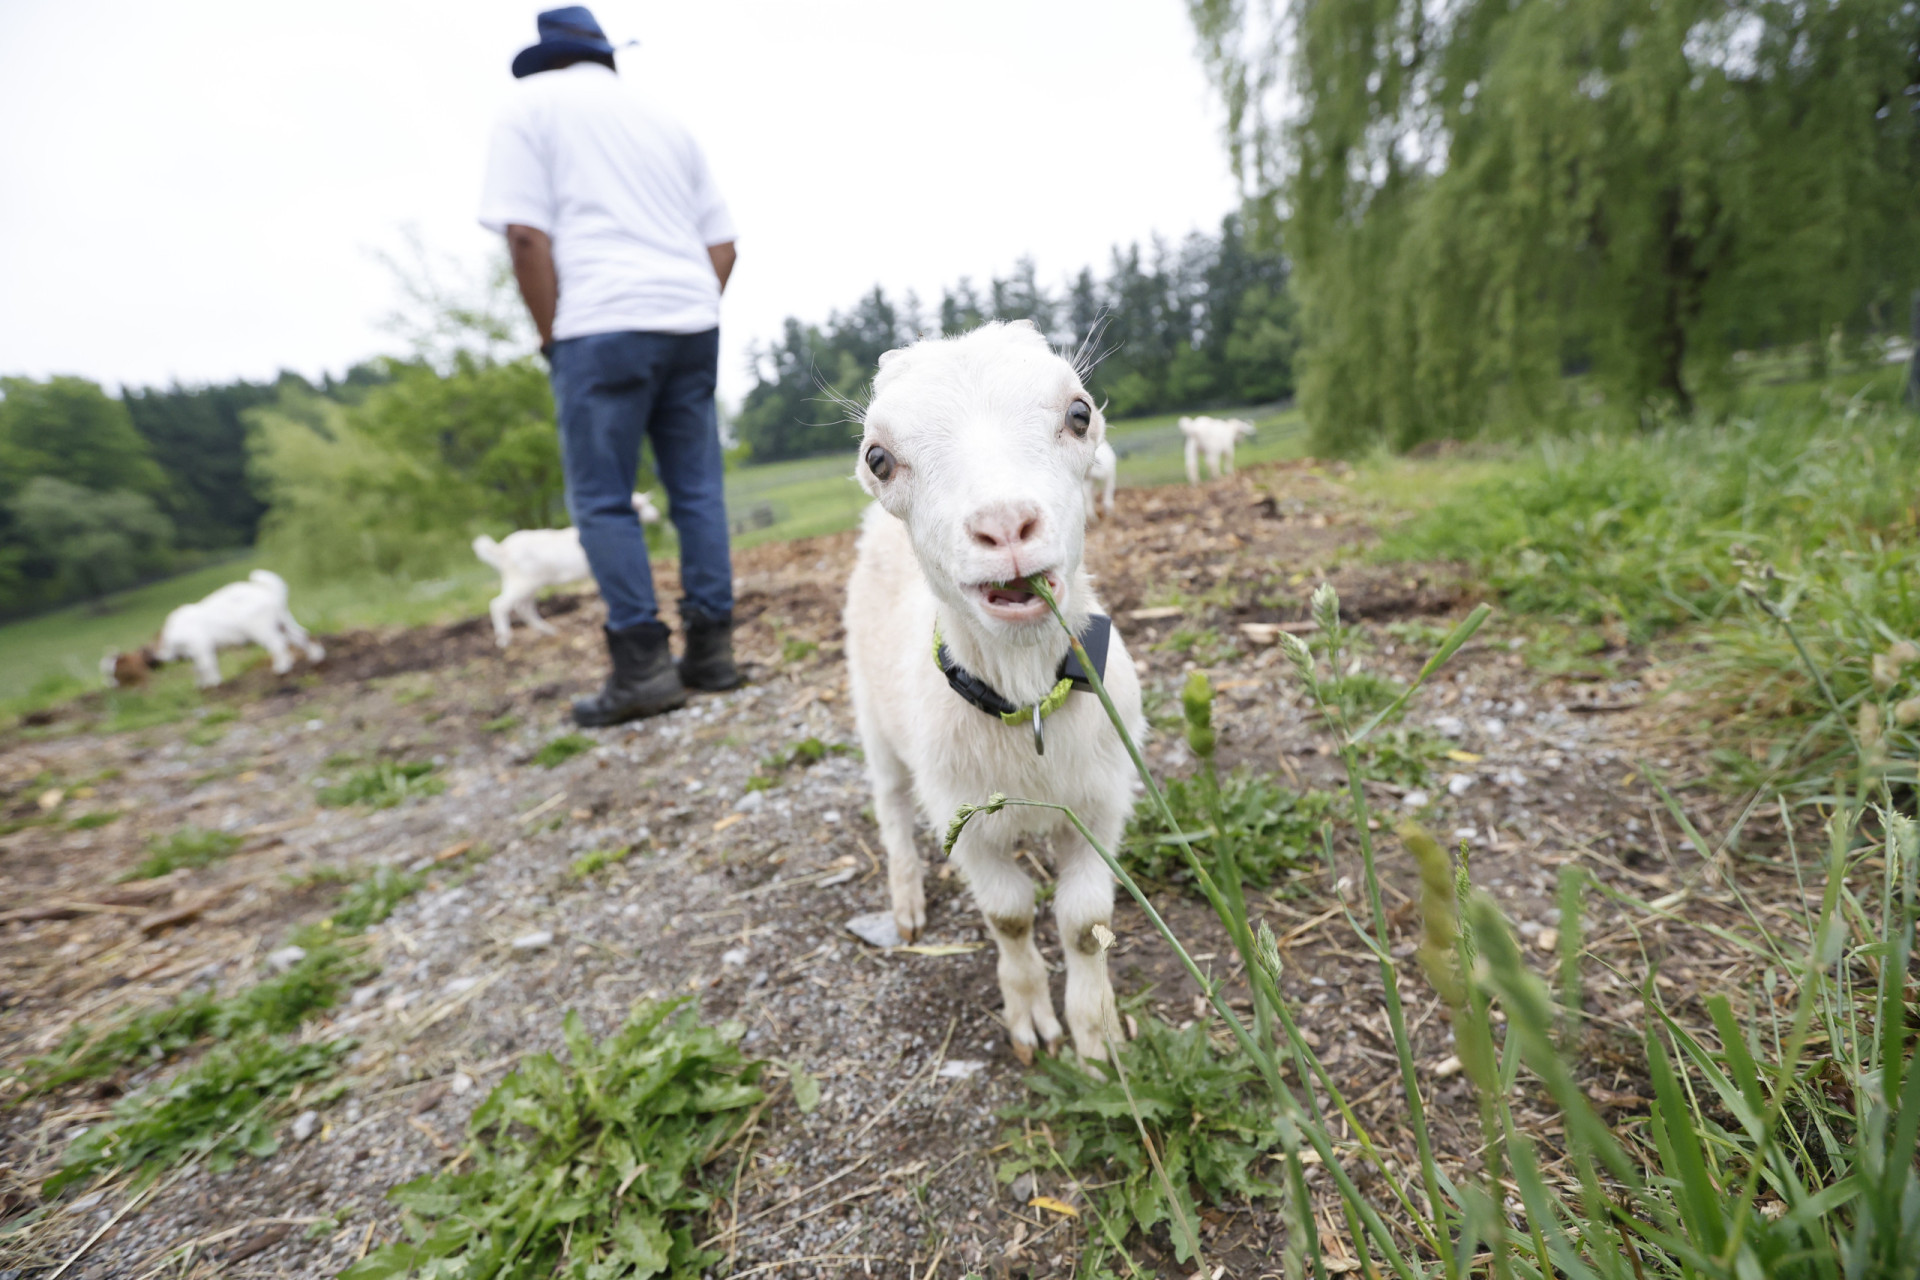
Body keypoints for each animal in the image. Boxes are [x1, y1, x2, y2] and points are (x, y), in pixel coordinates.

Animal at [103, 569, 325, 689]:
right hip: (283, 620)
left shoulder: (200, 646)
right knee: (302, 635)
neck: (169, 636)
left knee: (278, 644)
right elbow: (202, 667)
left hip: (262, 629)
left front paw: (212, 685)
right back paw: (316, 656)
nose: (113, 685)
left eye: (117, 669)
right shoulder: (200, 651)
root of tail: (268, 592)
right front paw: (205, 684)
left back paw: (281, 668)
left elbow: (205, 665)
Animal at [473, 493, 661, 648]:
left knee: (523, 607)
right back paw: (504, 639)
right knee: (499, 605)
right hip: (522, 581)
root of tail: (501, 550)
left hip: (527, 583)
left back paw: (547, 630)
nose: (656, 515)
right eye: (640, 505)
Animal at [845, 321, 1144, 1063]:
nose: (1005, 525)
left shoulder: (1101, 802)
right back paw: (906, 901)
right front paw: (1032, 1020)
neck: (1028, 697)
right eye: (878, 458)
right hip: (872, 718)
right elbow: (1008, 916)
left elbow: (1084, 921)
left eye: (1079, 413)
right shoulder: (968, 820)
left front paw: (1097, 1036)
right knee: (890, 806)